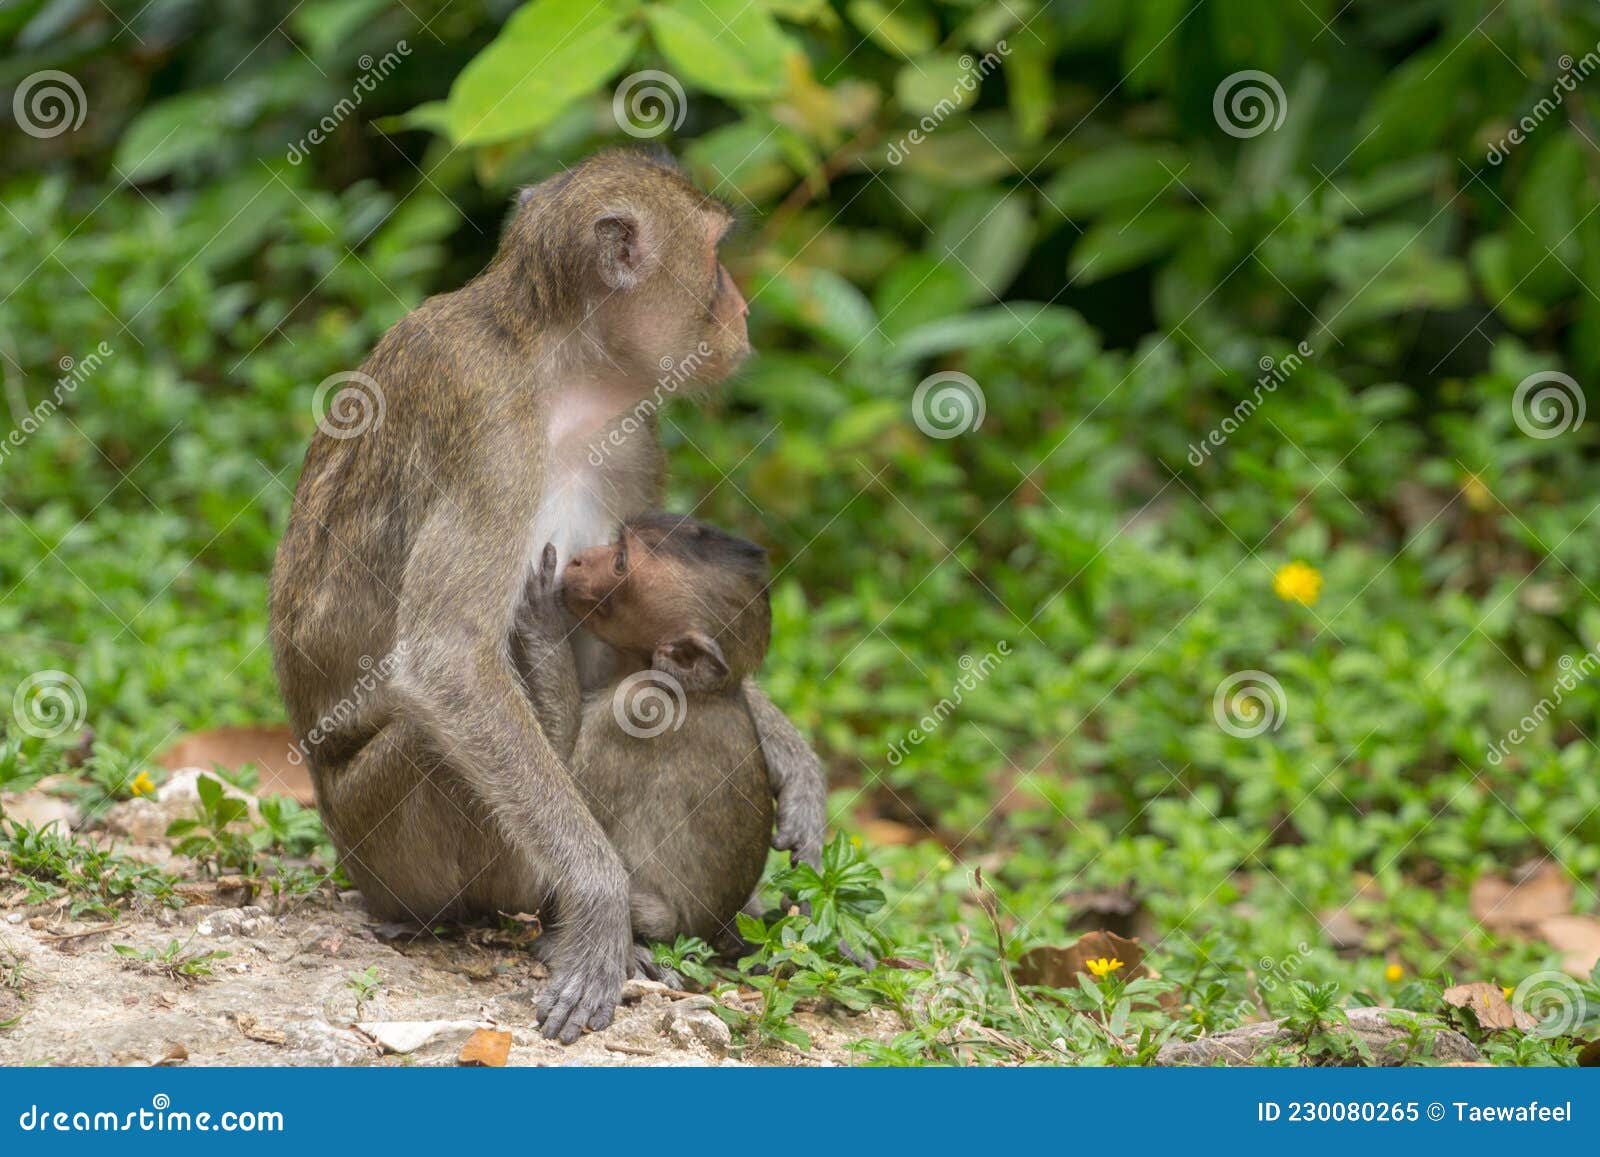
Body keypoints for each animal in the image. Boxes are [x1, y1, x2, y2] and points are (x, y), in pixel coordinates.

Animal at [515, 513, 778, 955]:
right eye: (617, 544)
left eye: (620, 562)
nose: (582, 559)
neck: (703, 690)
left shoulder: (635, 711)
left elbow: (570, 795)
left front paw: (547, 626)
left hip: (664, 921)